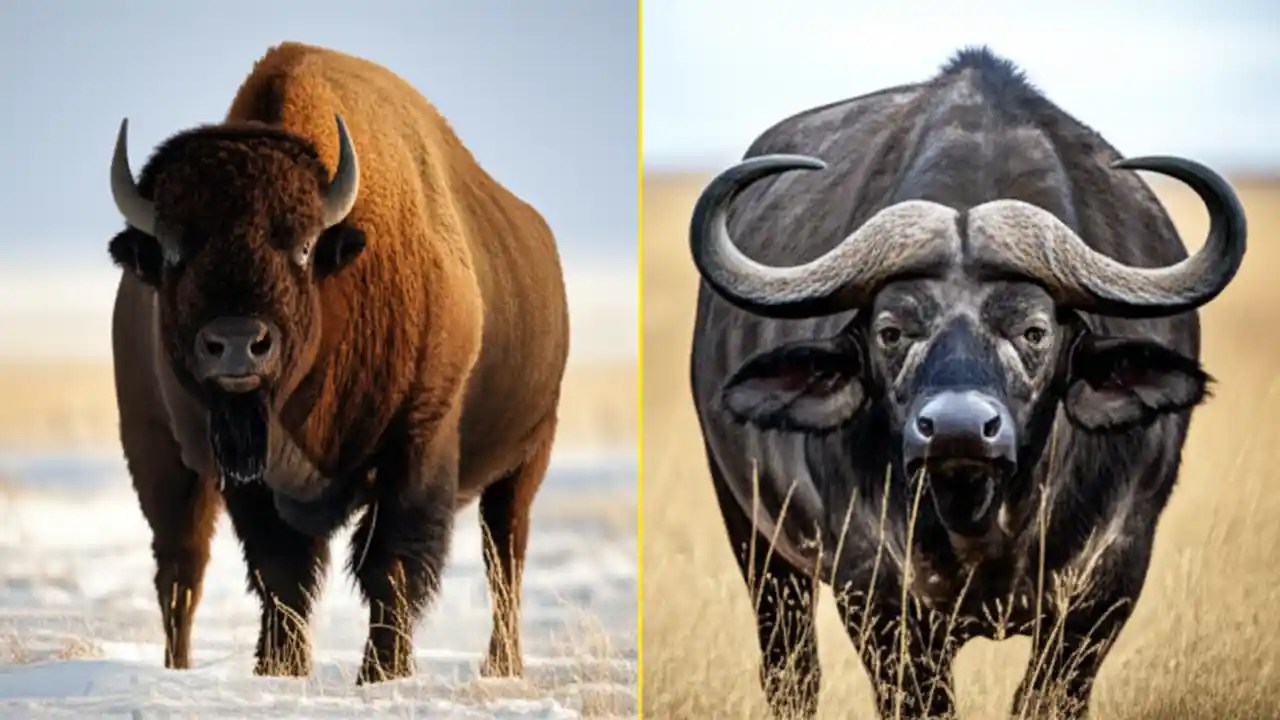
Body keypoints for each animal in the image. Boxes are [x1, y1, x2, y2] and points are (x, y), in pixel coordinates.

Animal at [108, 42, 569, 683]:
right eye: (175, 251)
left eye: (302, 247)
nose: (236, 343)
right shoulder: (247, 471)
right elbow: (280, 570)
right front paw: (279, 669)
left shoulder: (417, 443)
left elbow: (388, 566)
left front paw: (381, 674)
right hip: (157, 451)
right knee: (181, 571)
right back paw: (177, 669)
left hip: (528, 455)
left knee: (505, 557)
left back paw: (502, 667)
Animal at [688, 47, 1246, 718]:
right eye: (891, 330)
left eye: (1034, 330)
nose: (958, 430)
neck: (985, 518)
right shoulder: (877, 596)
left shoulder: (1107, 585)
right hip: (755, 537)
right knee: (790, 671)